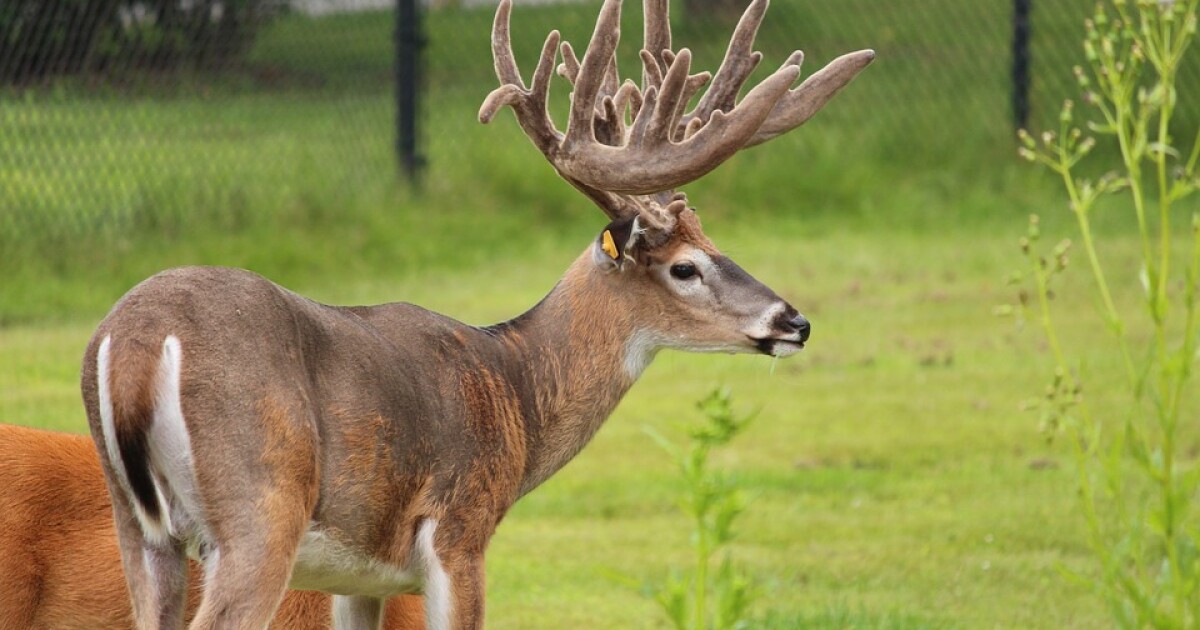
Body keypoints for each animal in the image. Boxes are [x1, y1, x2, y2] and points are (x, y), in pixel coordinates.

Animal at [79, 0, 873, 627]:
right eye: (685, 268)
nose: (794, 321)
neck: (516, 390)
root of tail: (137, 343)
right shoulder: (460, 529)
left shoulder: (361, 575)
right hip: (259, 509)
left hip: (139, 526)